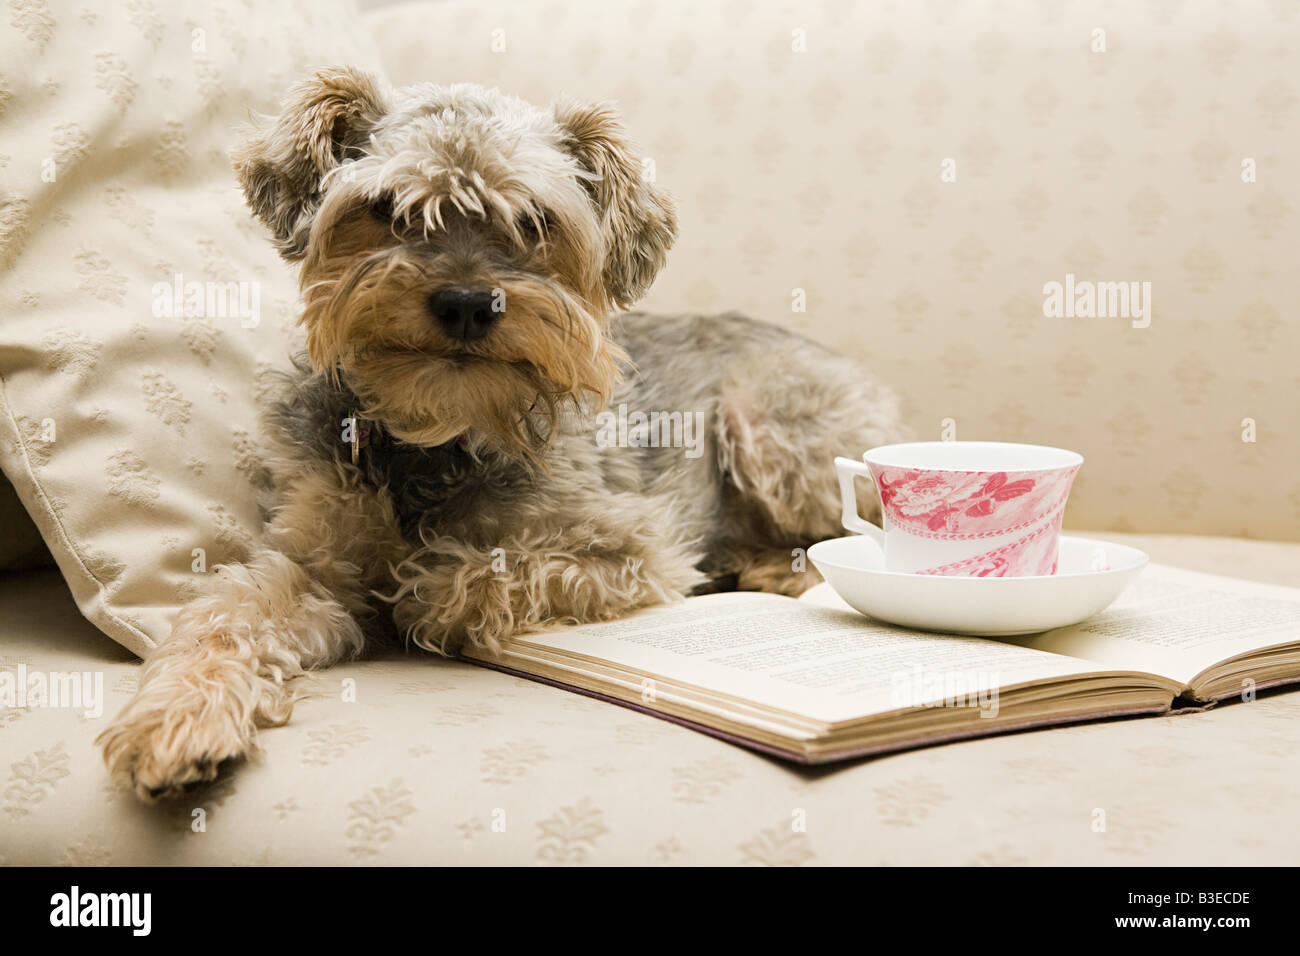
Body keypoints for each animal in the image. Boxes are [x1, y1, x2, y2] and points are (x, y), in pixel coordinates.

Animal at [96, 65, 904, 801]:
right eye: (388, 209)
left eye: (535, 222)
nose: (465, 302)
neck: (435, 431)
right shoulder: (311, 562)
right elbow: (227, 613)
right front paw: (177, 719)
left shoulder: (631, 550)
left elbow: (470, 574)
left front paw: (418, 586)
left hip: (765, 429)